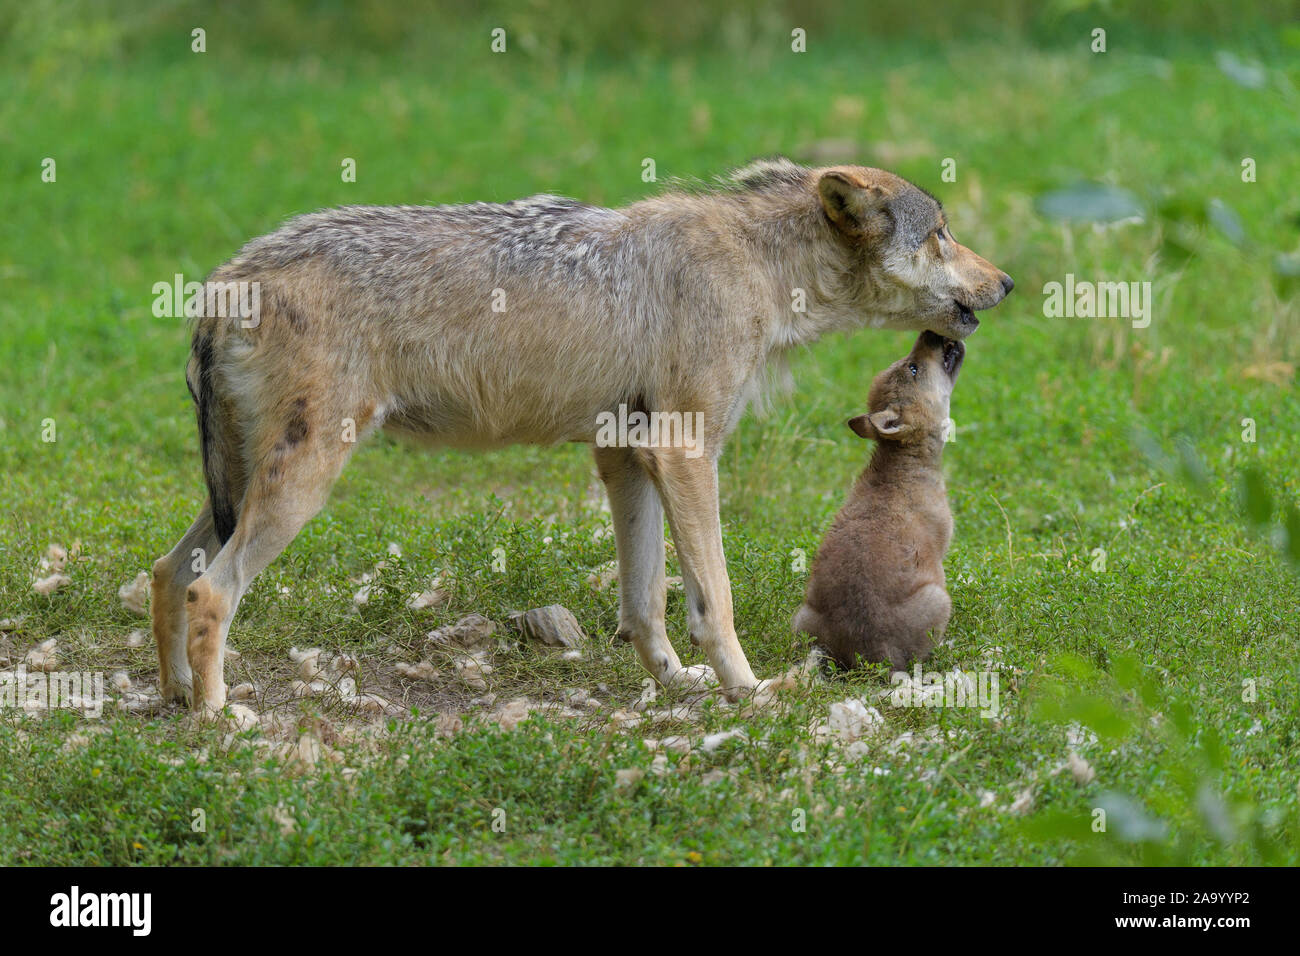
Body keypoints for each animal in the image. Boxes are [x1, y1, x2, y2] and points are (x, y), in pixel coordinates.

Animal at [794, 331, 965, 669]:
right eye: (913, 369)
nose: (928, 332)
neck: (904, 463)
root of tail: (872, 654)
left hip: (802, 616)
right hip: (940, 598)